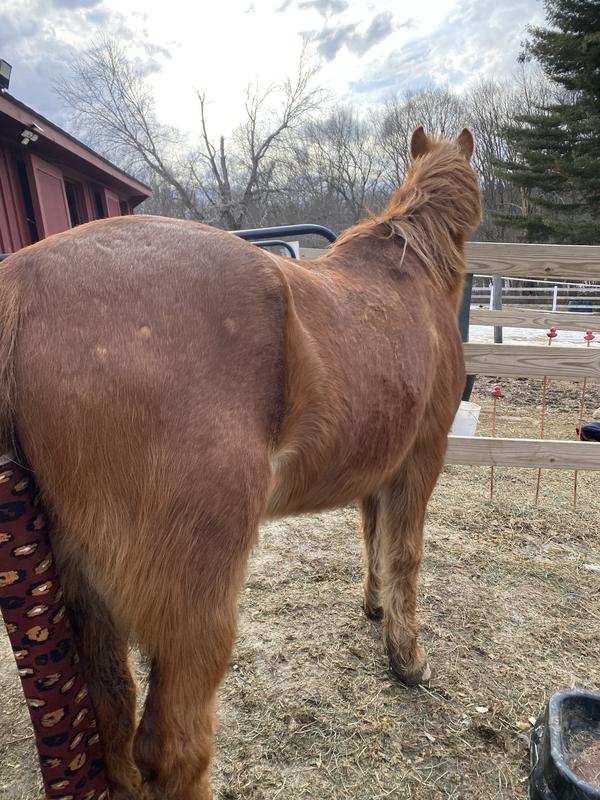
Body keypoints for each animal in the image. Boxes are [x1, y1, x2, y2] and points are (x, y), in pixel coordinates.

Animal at [0, 126, 481, 800]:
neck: (410, 275)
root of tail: (20, 285)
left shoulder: (378, 467)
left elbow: (373, 538)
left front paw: (374, 606)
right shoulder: (421, 458)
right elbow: (405, 555)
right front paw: (408, 659)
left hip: (84, 591)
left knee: (112, 711)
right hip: (195, 595)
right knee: (173, 745)